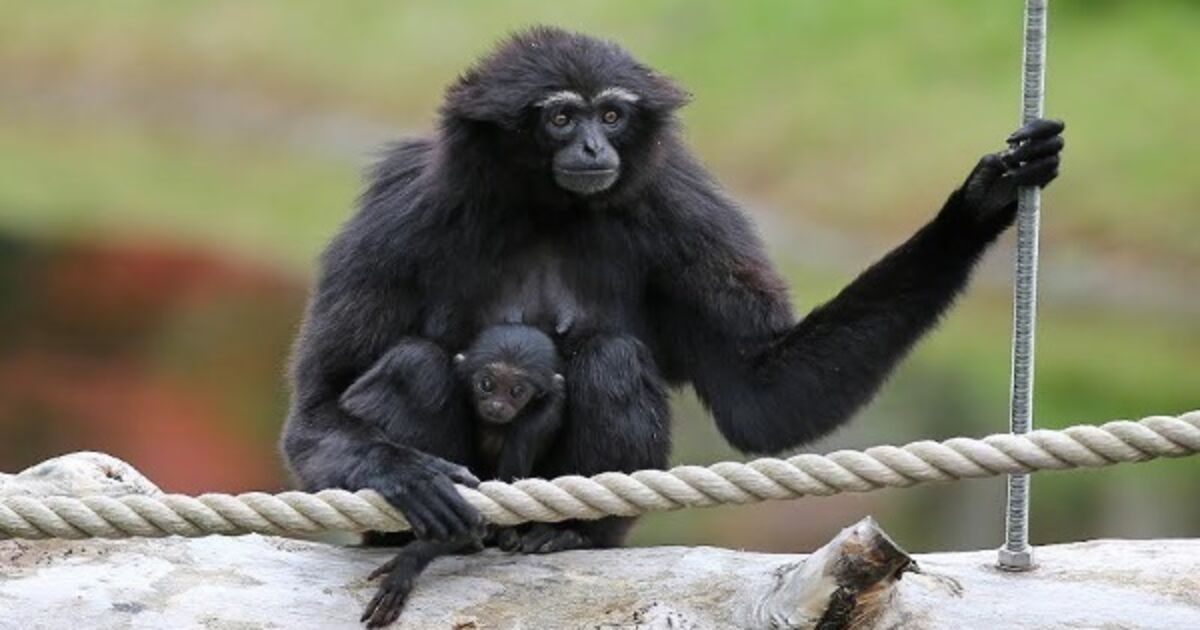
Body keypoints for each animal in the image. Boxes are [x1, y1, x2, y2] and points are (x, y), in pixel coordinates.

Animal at [280, 26, 1065, 627]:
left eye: (612, 116)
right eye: (561, 118)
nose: (593, 149)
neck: (546, 208)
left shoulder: (680, 204)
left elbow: (765, 397)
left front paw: (979, 203)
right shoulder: (402, 212)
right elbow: (314, 409)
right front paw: (401, 472)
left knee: (613, 356)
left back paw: (568, 531)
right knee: (413, 362)